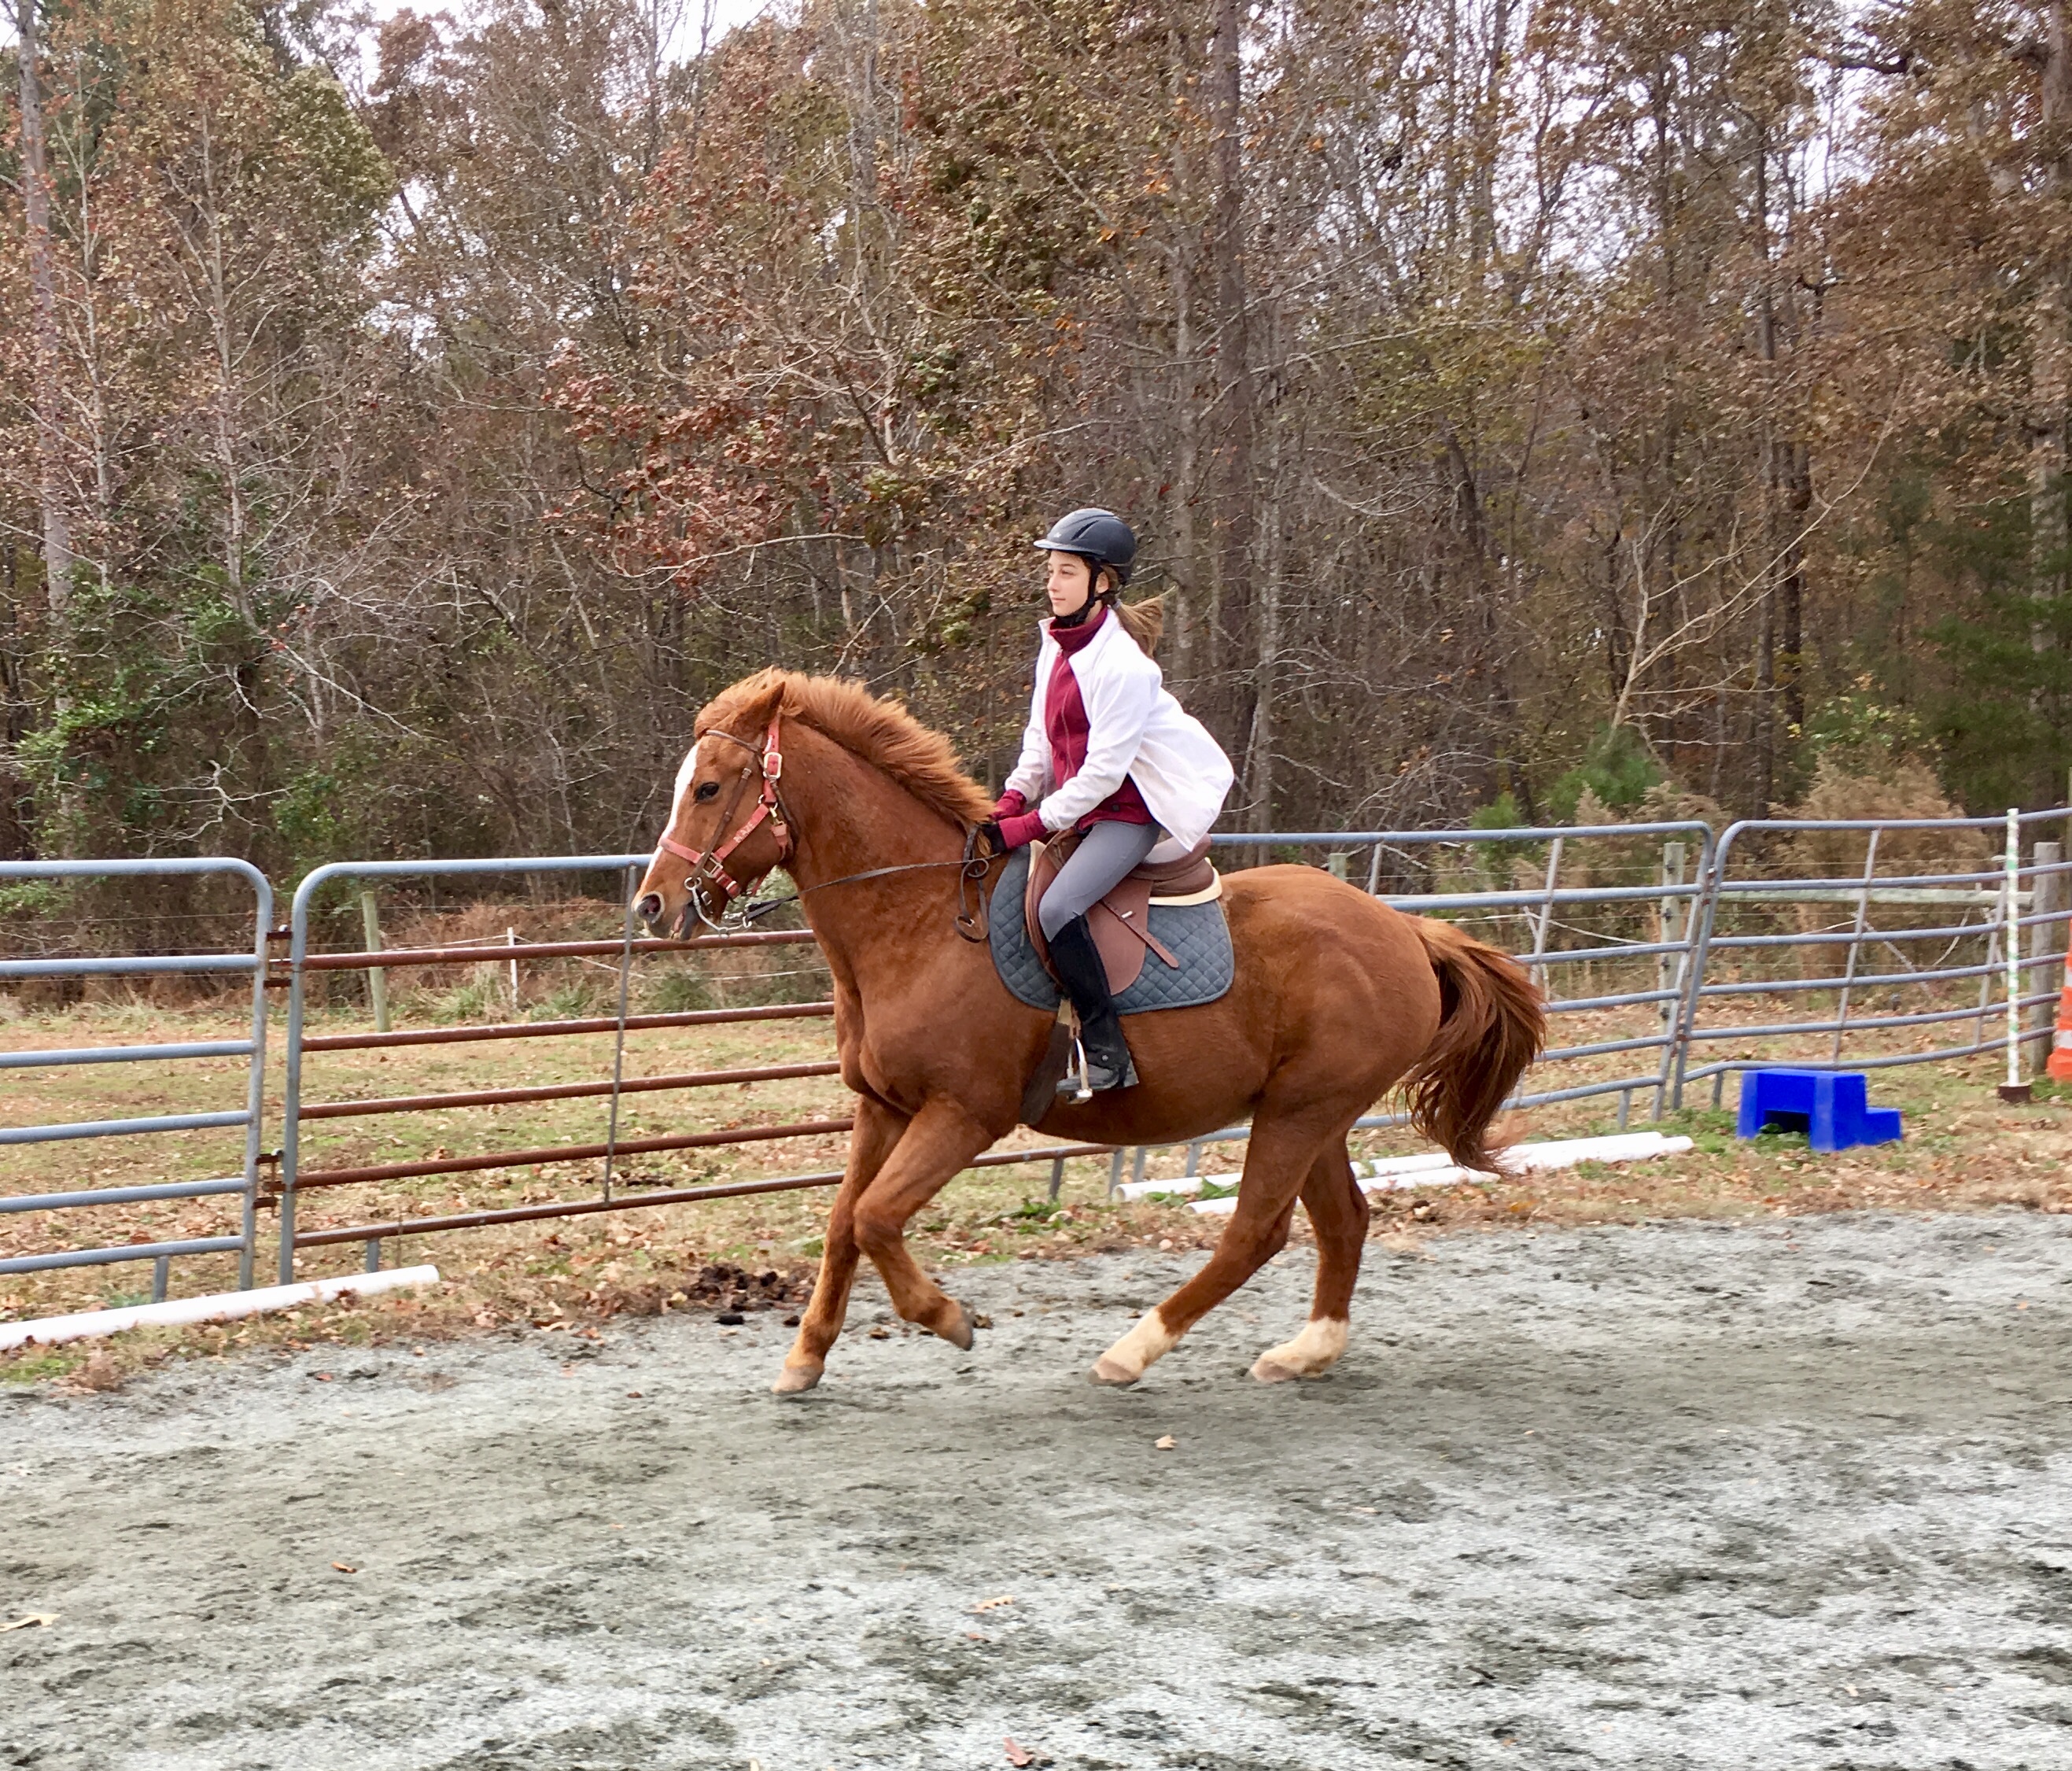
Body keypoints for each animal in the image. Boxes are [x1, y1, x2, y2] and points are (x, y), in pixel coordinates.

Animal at [635, 668, 1545, 1395]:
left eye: (709, 787)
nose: (652, 904)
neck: (920, 919)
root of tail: (1406, 930)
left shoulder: (964, 1114)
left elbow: (878, 1218)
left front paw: (948, 1317)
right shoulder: (883, 1107)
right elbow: (842, 1222)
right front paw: (805, 1359)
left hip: (1301, 1113)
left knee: (1255, 1232)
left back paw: (1133, 1351)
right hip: (1309, 1112)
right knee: (1342, 1222)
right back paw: (1304, 1353)